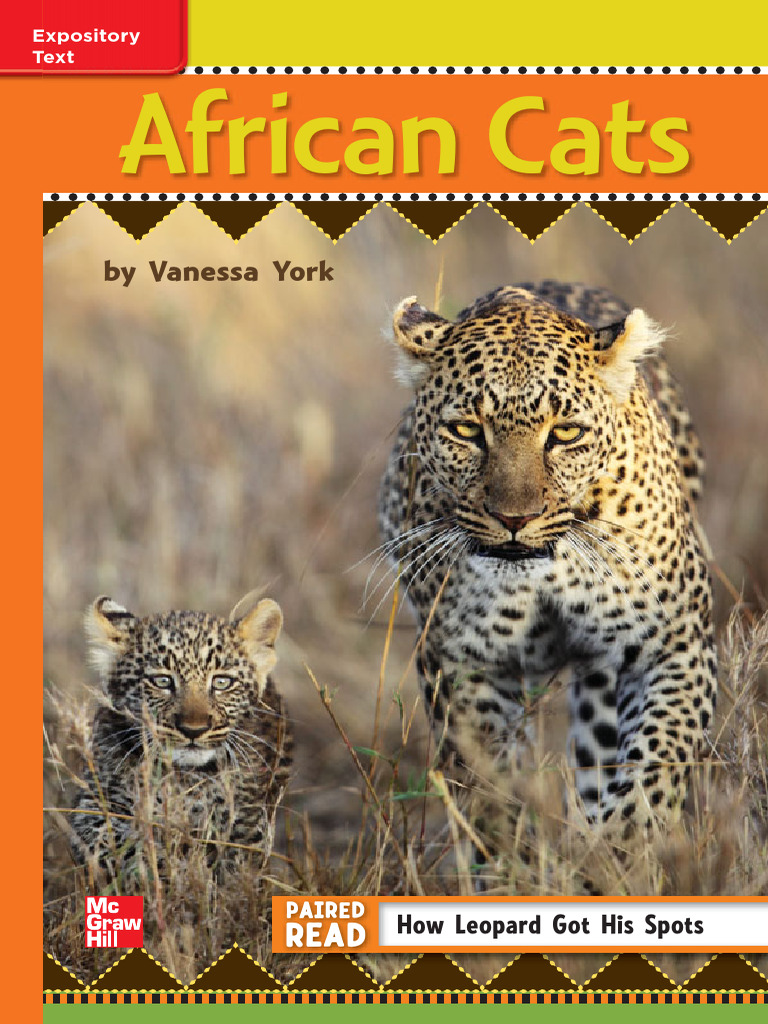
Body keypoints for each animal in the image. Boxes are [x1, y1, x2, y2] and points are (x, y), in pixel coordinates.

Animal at [70, 592, 292, 882]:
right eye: (163, 681)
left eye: (221, 682)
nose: (194, 729)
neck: (185, 778)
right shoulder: (97, 798)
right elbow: (106, 838)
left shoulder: (246, 819)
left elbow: (234, 869)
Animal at [378, 281, 716, 853]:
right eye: (467, 429)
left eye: (565, 433)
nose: (515, 518)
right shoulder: (464, 662)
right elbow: (490, 782)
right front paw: (510, 857)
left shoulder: (677, 644)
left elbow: (657, 761)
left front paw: (621, 852)